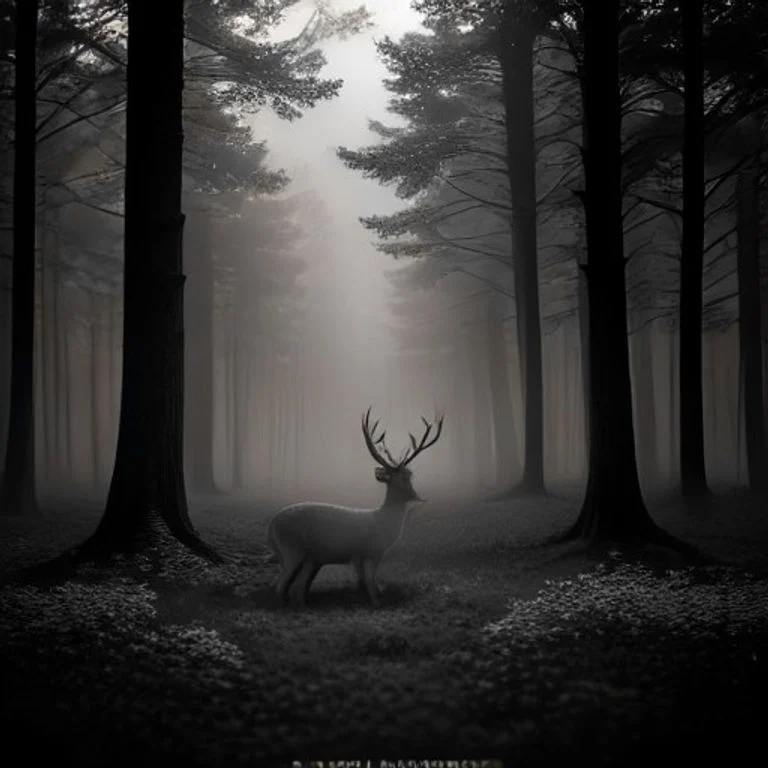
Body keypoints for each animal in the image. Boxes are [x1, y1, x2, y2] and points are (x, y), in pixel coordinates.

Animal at [266, 408, 444, 608]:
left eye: (410, 475)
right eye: (403, 478)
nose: (417, 497)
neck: (383, 524)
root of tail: (270, 530)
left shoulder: (361, 557)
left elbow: (364, 583)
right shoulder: (369, 553)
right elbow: (371, 586)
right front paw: (376, 604)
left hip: (309, 558)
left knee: (296, 588)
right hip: (291, 549)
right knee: (281, 585)